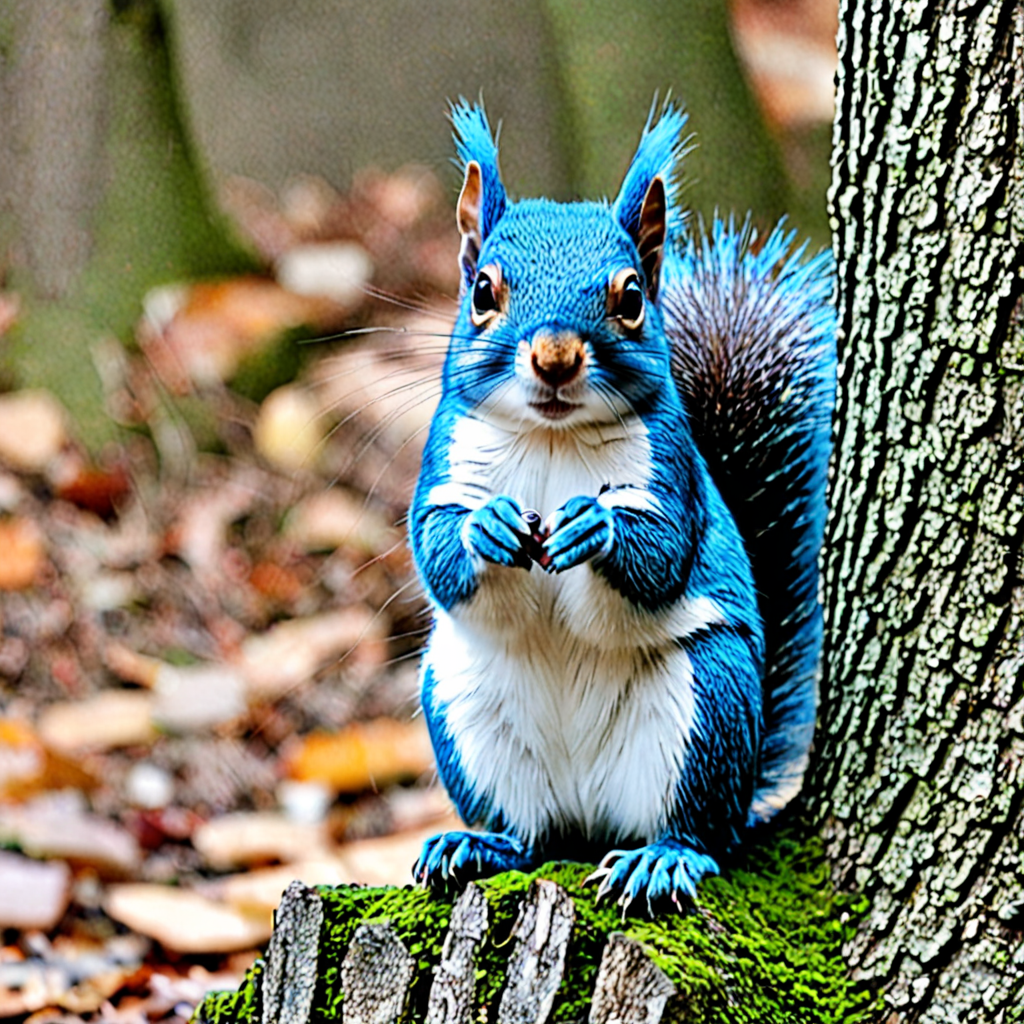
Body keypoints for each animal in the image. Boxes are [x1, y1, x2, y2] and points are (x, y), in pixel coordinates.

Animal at [408, 100, 836, 912]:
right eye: (482, 292)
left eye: (632, 298)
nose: (553, 357)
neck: (552, 439)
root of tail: (590, 819)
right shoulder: (443, 463)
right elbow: (435, 543)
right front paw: (489, 527)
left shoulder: (674, 476)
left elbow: (662, 554)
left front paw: (594, 524)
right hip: (465, 713)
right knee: (533, 834)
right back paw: (477, 844)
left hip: (706, 709)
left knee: (701, 832)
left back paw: (661, 859)